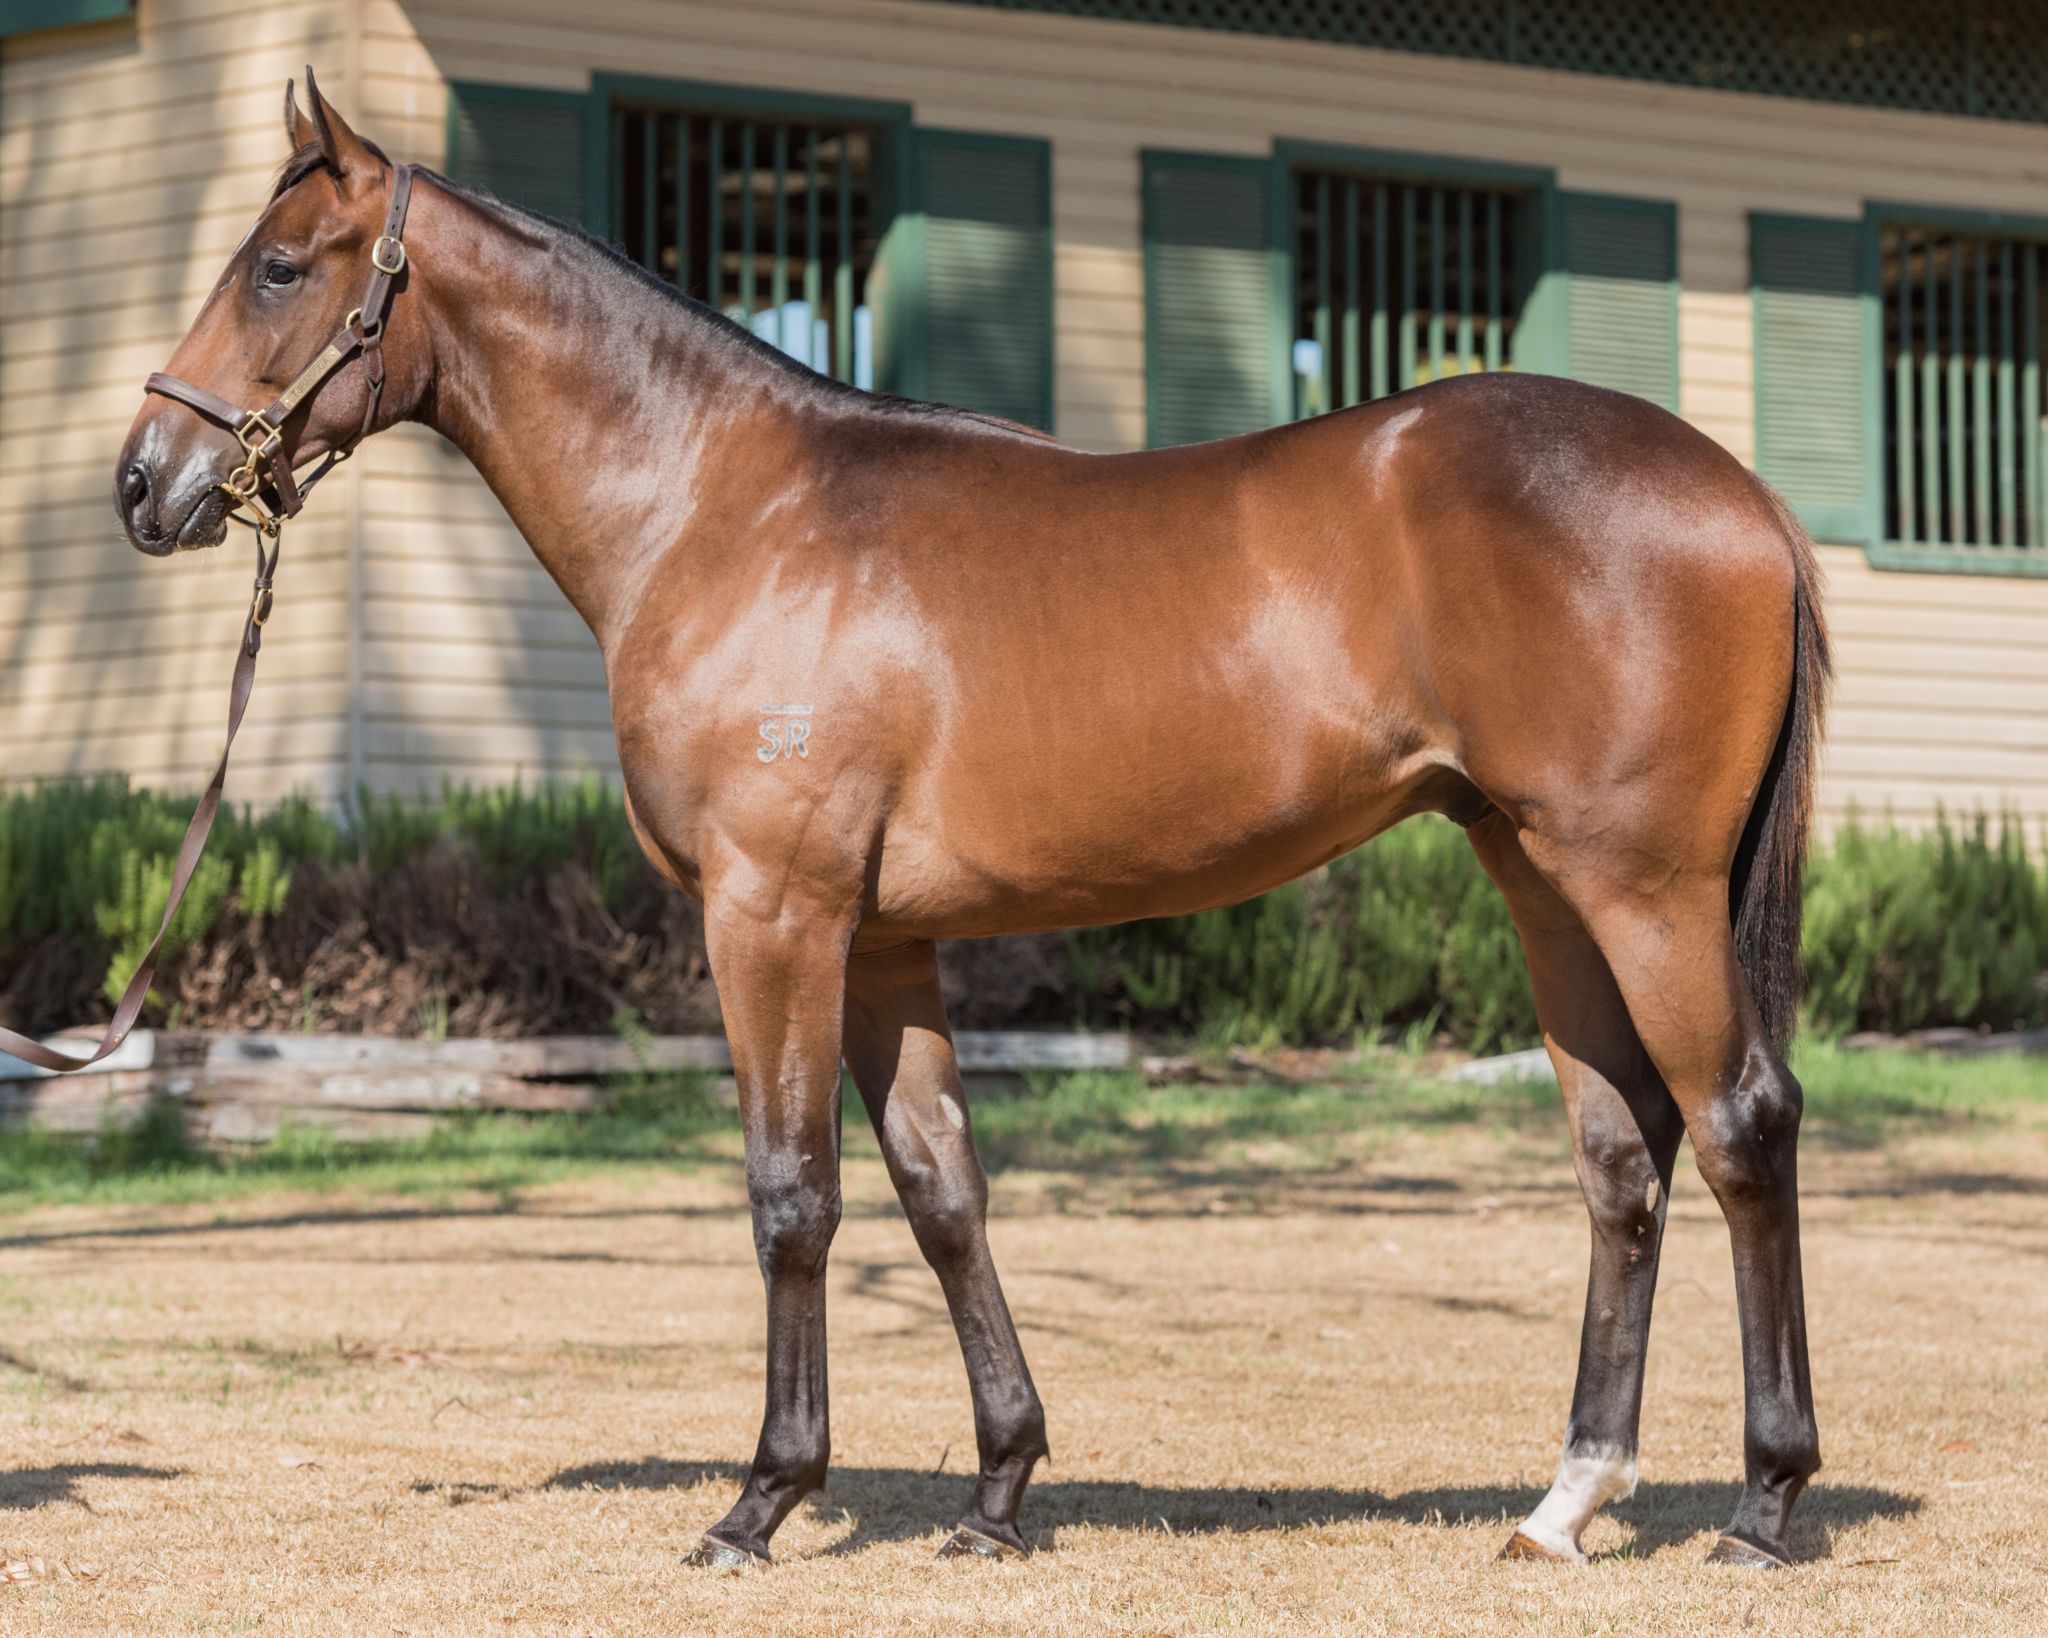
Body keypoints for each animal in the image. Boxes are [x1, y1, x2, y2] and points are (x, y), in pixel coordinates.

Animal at [115, 71, 1829, 1572]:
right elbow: (942, 1193)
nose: (145, 481)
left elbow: (793, 1195)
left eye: (277, 265)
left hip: (1645, 888)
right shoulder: (885, 944)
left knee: (1742, 1122)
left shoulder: (772, 915)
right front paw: (998, 1491)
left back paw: (1764, 1502)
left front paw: (762, 1500)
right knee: (1622, 1154)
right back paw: (1566, 1501)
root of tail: (1745, 494)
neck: (723, 506)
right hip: (1541, 881)